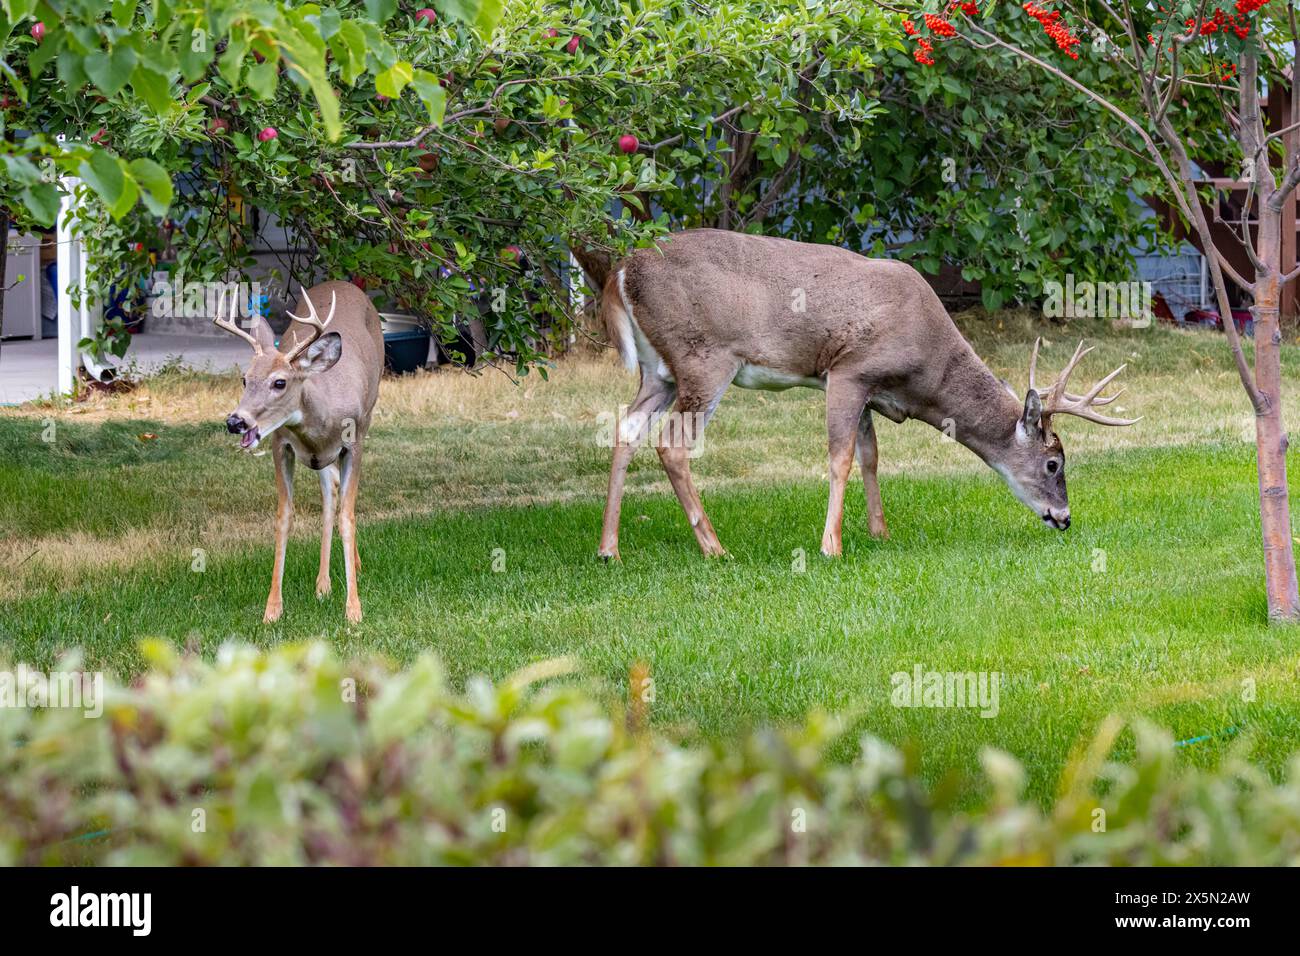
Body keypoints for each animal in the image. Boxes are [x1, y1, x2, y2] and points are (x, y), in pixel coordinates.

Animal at [215, 280, 384, 624]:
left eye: (280, 382)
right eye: (244, 379)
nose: (236, 421)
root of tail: (342, 283)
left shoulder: (354, 442)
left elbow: (348, 516)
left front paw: (354, 610)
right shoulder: (282, 445)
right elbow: (284, 517)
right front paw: (272, 609)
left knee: (338, 500)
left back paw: (350, 570)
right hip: (319, 461)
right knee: (329, 493)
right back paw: (323, 584)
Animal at [597, 228, 1138, 560]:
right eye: (1053, 463)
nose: (1064, 518)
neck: (926, 373)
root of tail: (620, 272)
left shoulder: (869, 389)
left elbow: (870, 455)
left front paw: (880, 532)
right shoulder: (849, 370)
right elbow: (840, 458)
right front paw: (830, 545)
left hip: (659, 371)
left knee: (623, 429)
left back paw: (609, 549)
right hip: (704, 359)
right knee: (672, 444)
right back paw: (715, 547)